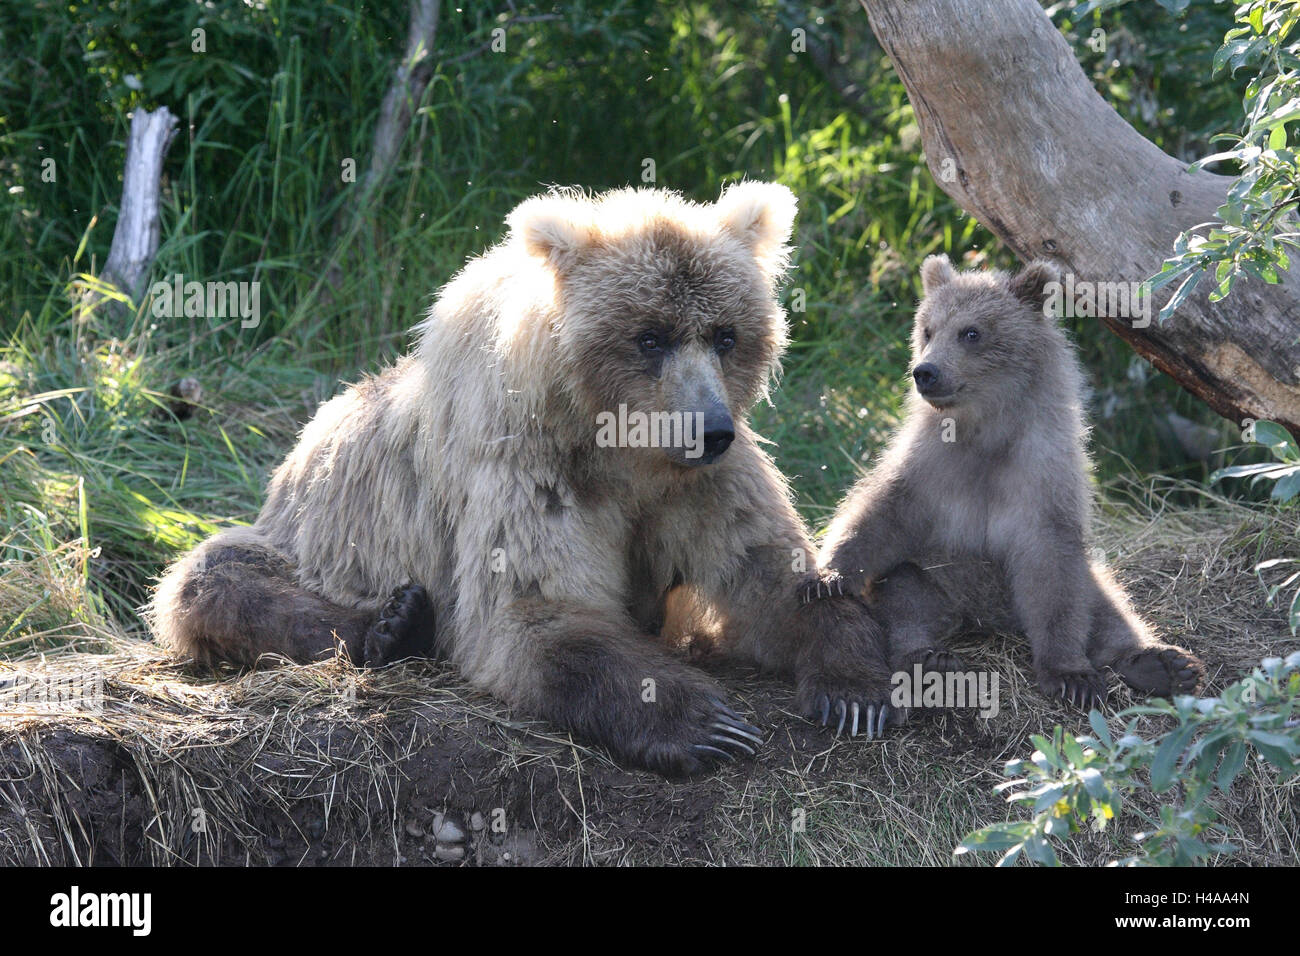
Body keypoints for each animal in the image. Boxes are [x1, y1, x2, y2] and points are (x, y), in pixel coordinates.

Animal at [148, 183, 895, 776]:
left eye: (726, 334)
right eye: (649, 335)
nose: (707, 429)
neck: (617, 454)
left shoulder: (699, 485)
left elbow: (769, 571)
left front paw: (855, 689)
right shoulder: (528, 470)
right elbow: (538, 614)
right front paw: (703, 725)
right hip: (308, 539)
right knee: (215, 577)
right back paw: (394, 624)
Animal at [809, 255, 1205, 710]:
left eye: (971, 332)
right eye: (927, 329)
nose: (925, 371)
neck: (987, 429)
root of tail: (986, 617)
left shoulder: (1042, 472)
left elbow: (1052, 568)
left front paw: (1070, 674)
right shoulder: (929, 464)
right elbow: (883, 512)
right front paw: (825, 576)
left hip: (1059, 584)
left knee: (1107, 607)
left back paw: (1162, 664)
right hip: (938, 580)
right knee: (906, 598)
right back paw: (930, 659)